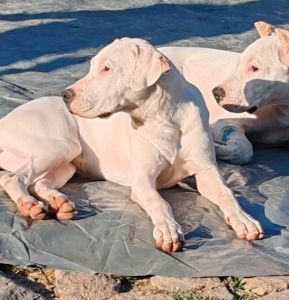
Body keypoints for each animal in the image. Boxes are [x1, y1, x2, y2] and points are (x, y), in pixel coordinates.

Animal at [0, 38, 262, 253]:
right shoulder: (143, 180)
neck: (164, 118)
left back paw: (58, 202)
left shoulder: (206, 170)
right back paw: (29, 204)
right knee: (12, 178)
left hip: (67, 162)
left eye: (106, 68)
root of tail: (5, 120)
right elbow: (160, 202)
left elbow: (227, 193)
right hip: (61, 145)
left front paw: (244, 219)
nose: (66, 95)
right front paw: (168, 229)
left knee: (38, 181)